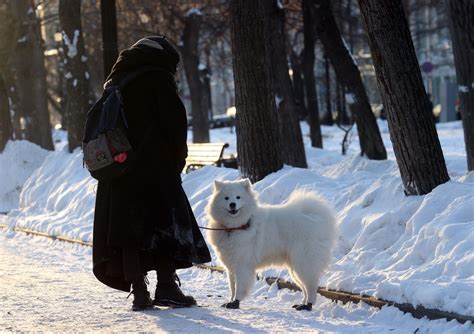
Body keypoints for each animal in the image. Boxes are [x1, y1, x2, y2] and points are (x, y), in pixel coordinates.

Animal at [206, 180, 336, 310]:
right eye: (226, 198)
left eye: (238, 197)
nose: (232, 204)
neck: (234, 227)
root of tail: (315, 217)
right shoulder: (231, 266)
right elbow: (232, 288)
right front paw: (230, 300)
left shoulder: (242, 266)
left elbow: (239, 287)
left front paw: (235, 302)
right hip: (295, 267)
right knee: (305, 288)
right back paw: (302, 303)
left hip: (304, 262)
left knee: (311, 286)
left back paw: (307, 305)